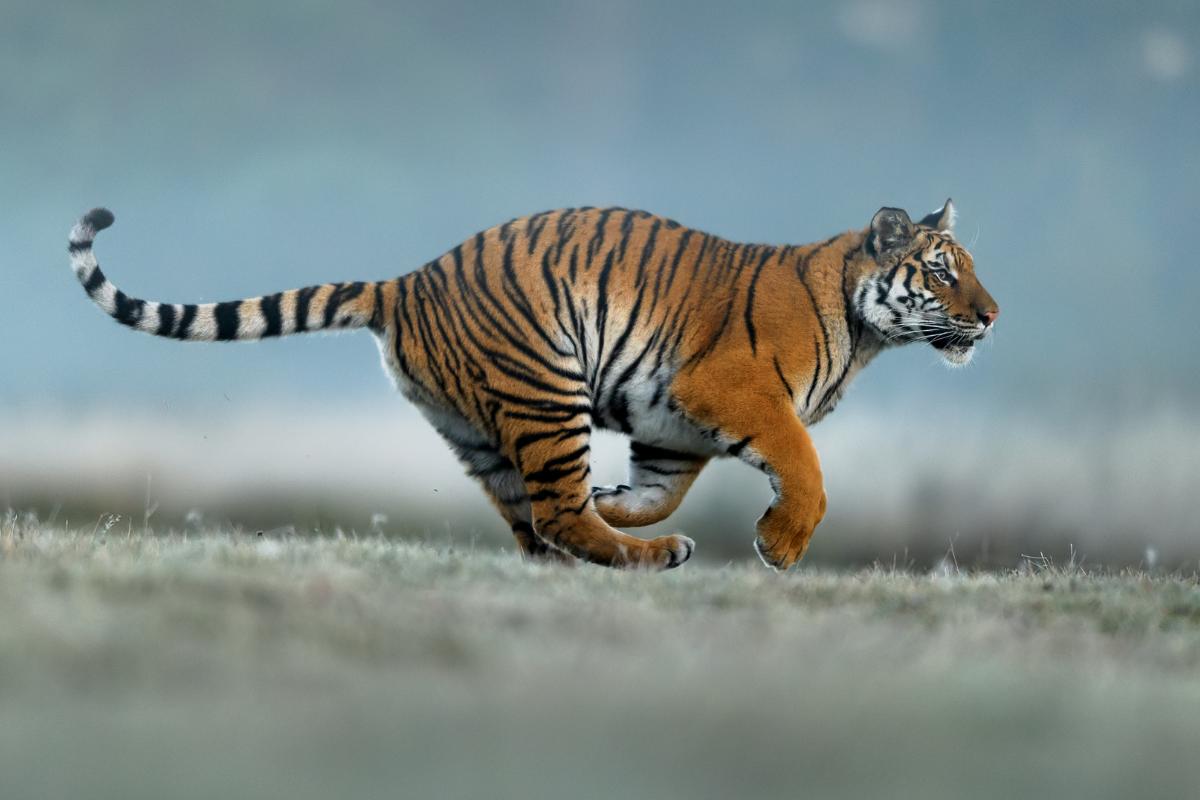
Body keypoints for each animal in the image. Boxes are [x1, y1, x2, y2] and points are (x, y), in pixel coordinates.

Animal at [67, 200, 998, 571]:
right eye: (942, 272)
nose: (991, 316)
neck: (867, 335)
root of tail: (407, 281)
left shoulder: (671, 425)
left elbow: (660, 488)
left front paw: (621, 499)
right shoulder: (733, 392)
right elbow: (806, 468)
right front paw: (781, 545)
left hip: (479, 429)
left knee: (537, 521)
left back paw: (601, 544)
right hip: (548, 388)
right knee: (553, 511)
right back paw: (648, 556)